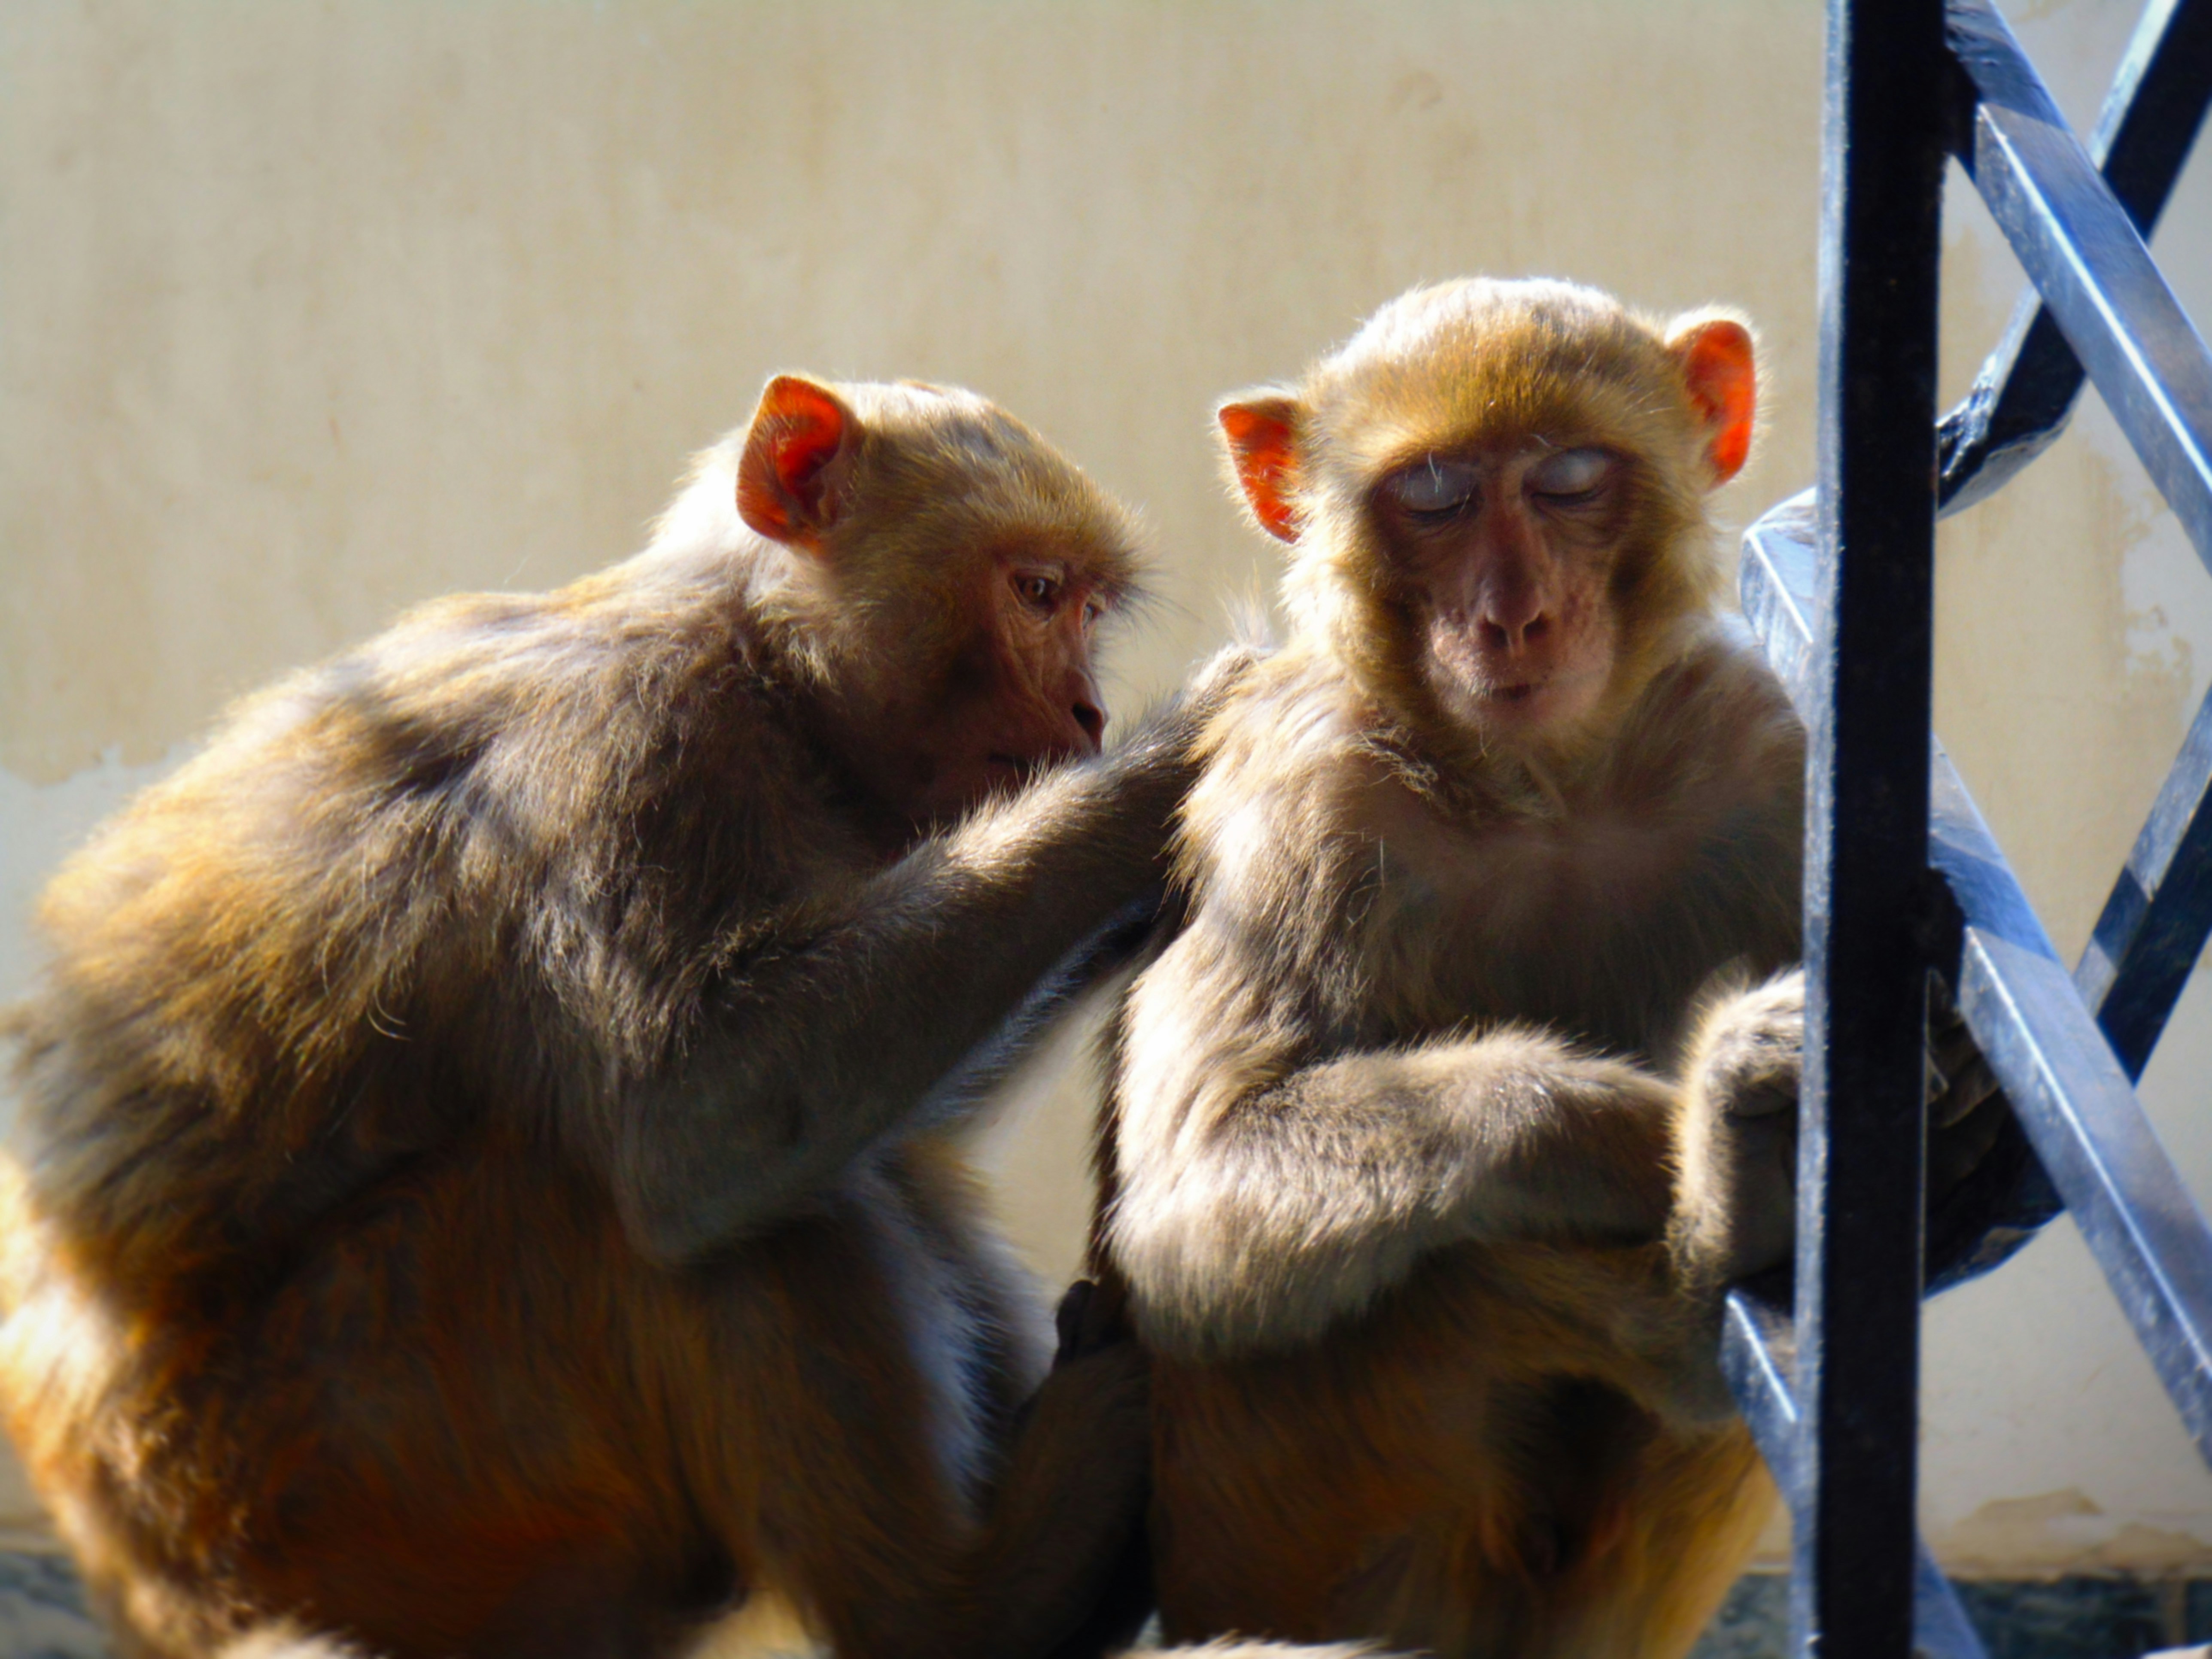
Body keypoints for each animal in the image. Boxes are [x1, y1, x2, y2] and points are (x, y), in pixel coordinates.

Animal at [0, 373, 1233, 1659]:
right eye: (1037, 594)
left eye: (1091, 609)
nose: (1090, 713)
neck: (766, 680)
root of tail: (149, 1574)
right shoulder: (623, 750)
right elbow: (698, 1115)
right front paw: (1177, 756)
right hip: (362, 1467)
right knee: (660, 1194)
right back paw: (958, 1604)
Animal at [1089, 277, 1939, 1659]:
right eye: (1433, 497)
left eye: (1570, 480)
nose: (1515, 615)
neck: (1542, 794)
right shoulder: (1303, 804)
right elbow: (1189, 1214)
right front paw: (1638, 1124)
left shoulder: (1766, 754)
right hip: (1309, 1526)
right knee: (1431, 1253)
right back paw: (1712, 1228)